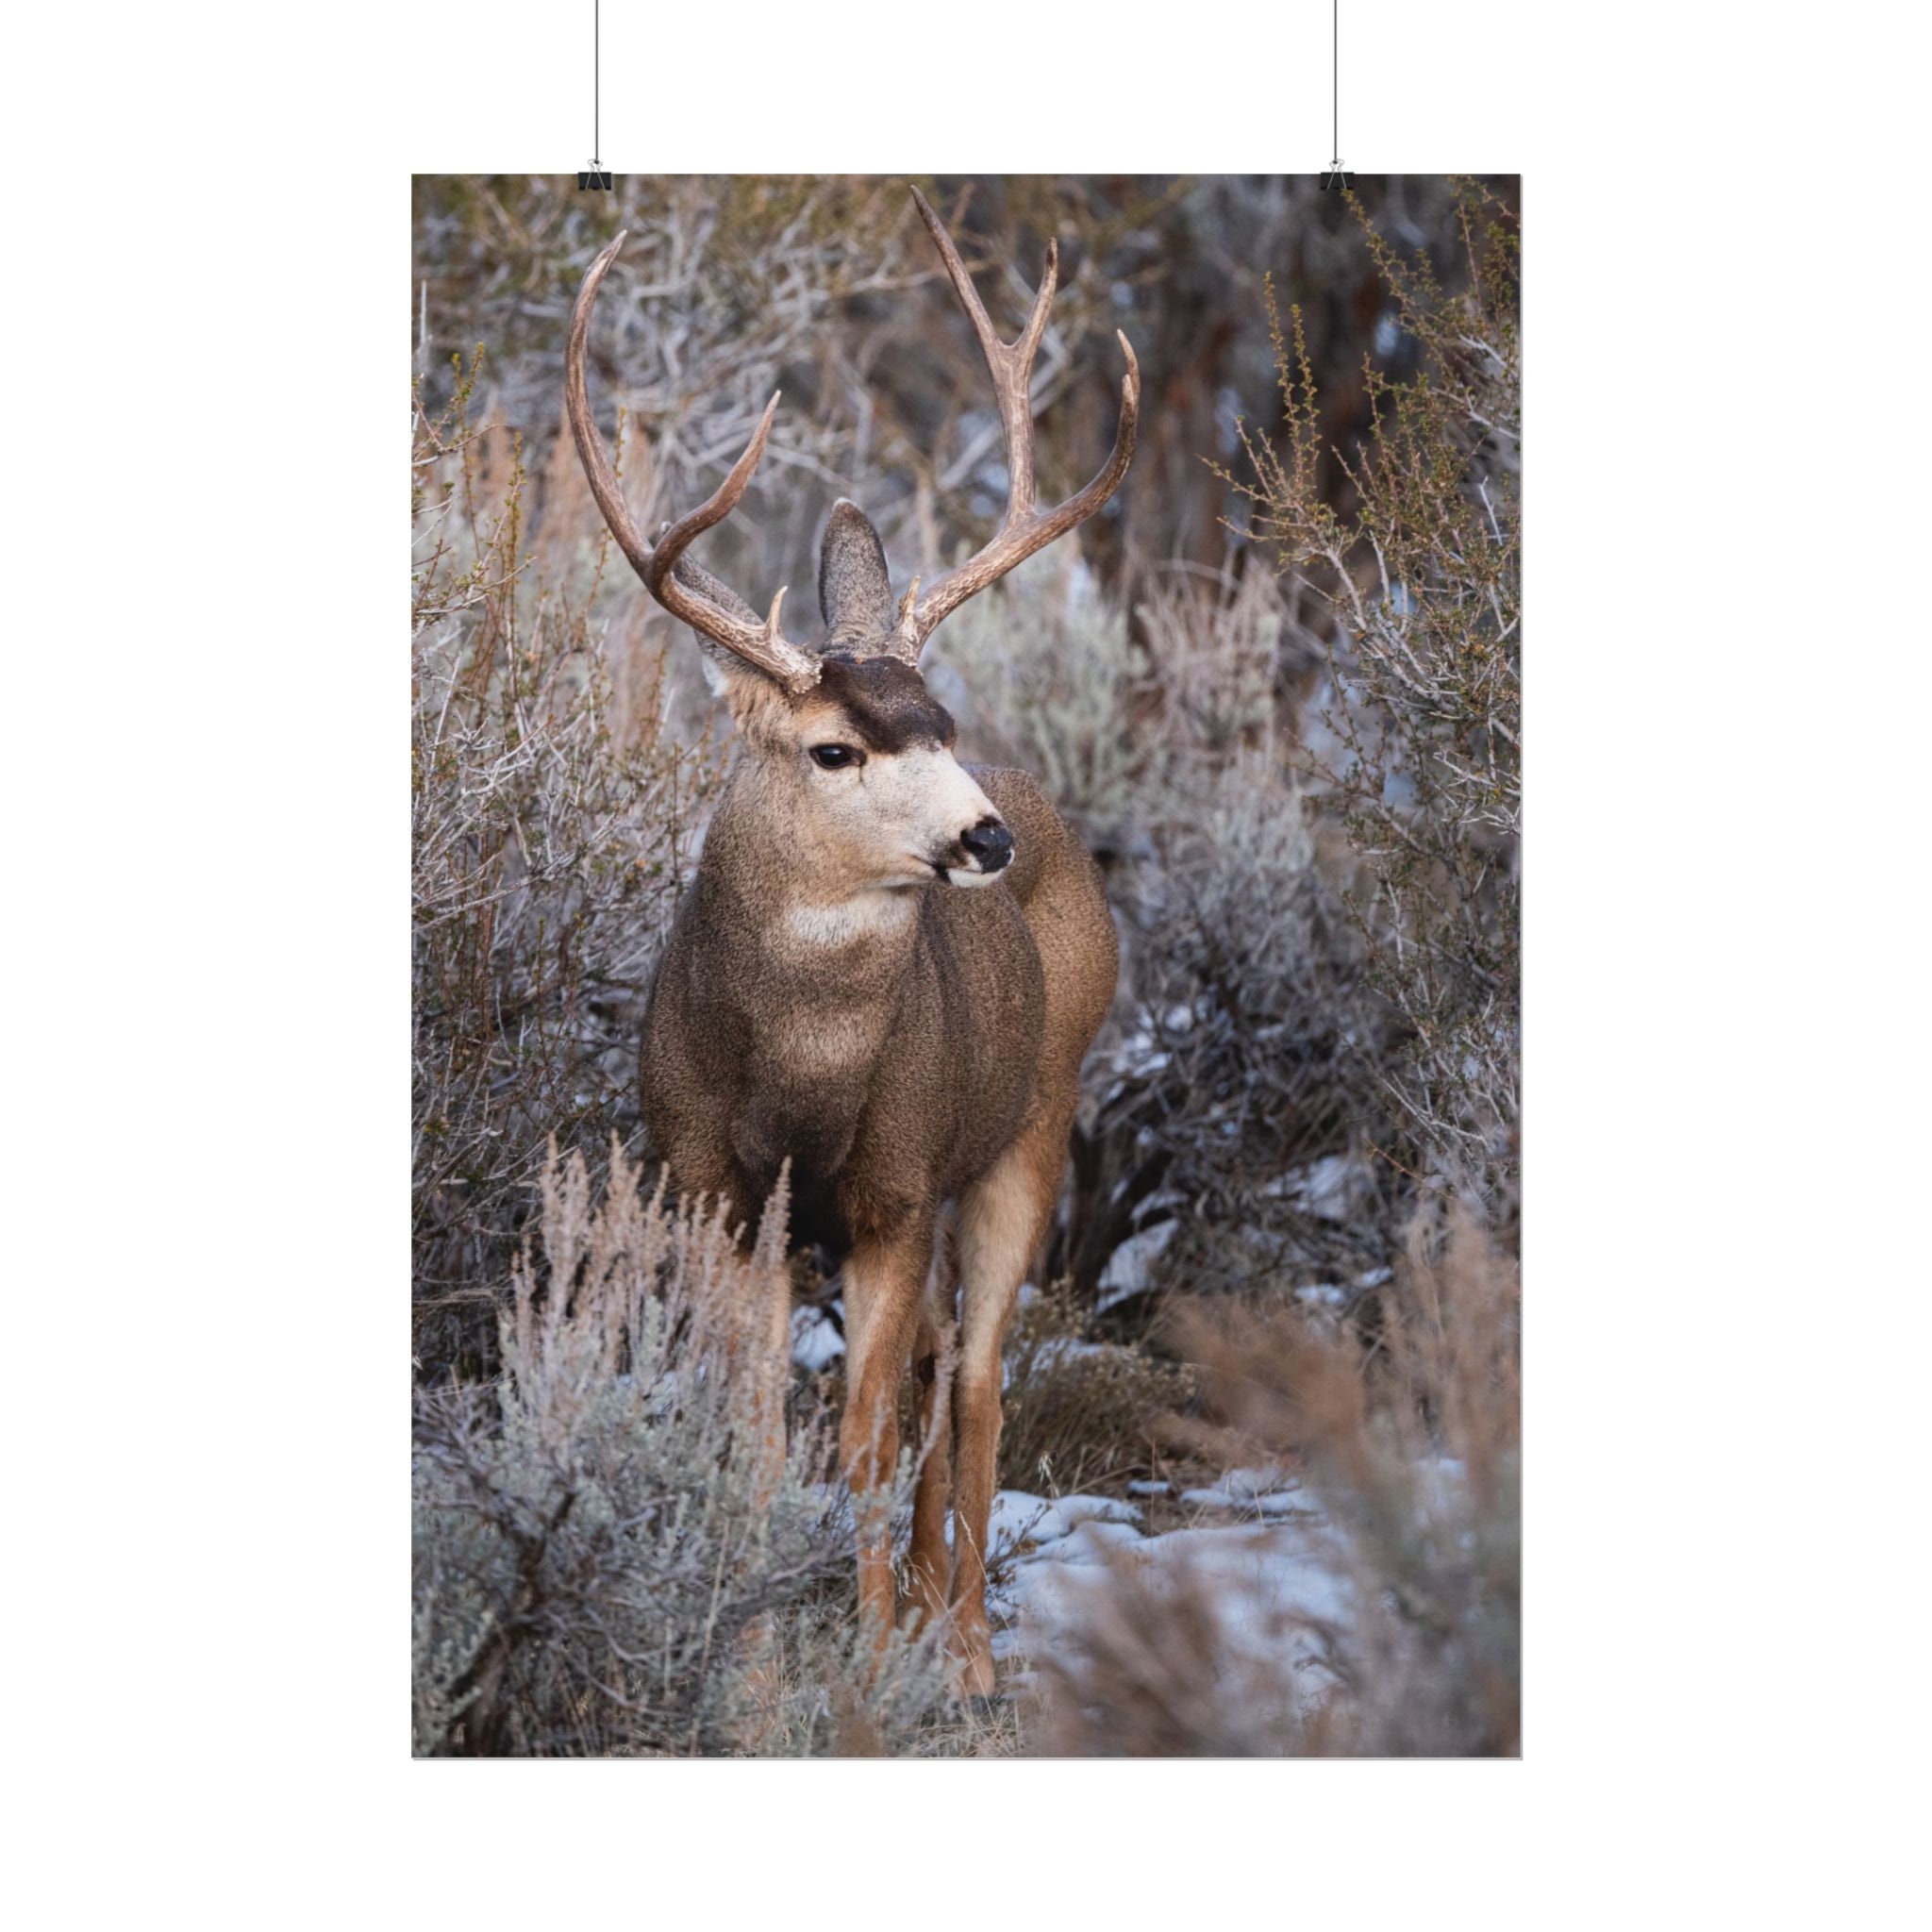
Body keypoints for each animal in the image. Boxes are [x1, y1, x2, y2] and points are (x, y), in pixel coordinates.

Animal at [563, 186, 1138, 1698]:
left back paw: (972, 1652)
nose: (984, 838)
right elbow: (763, 1438)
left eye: (941, 721)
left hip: (1028, 1120)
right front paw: (755, 1674)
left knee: (978, 1374)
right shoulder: (715, 1192)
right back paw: (939, 1615)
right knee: (944, 1361)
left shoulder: (887, 1190)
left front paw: (867, 1670)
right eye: (834, 747)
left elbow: (863, 1436)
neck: (801, 1081)